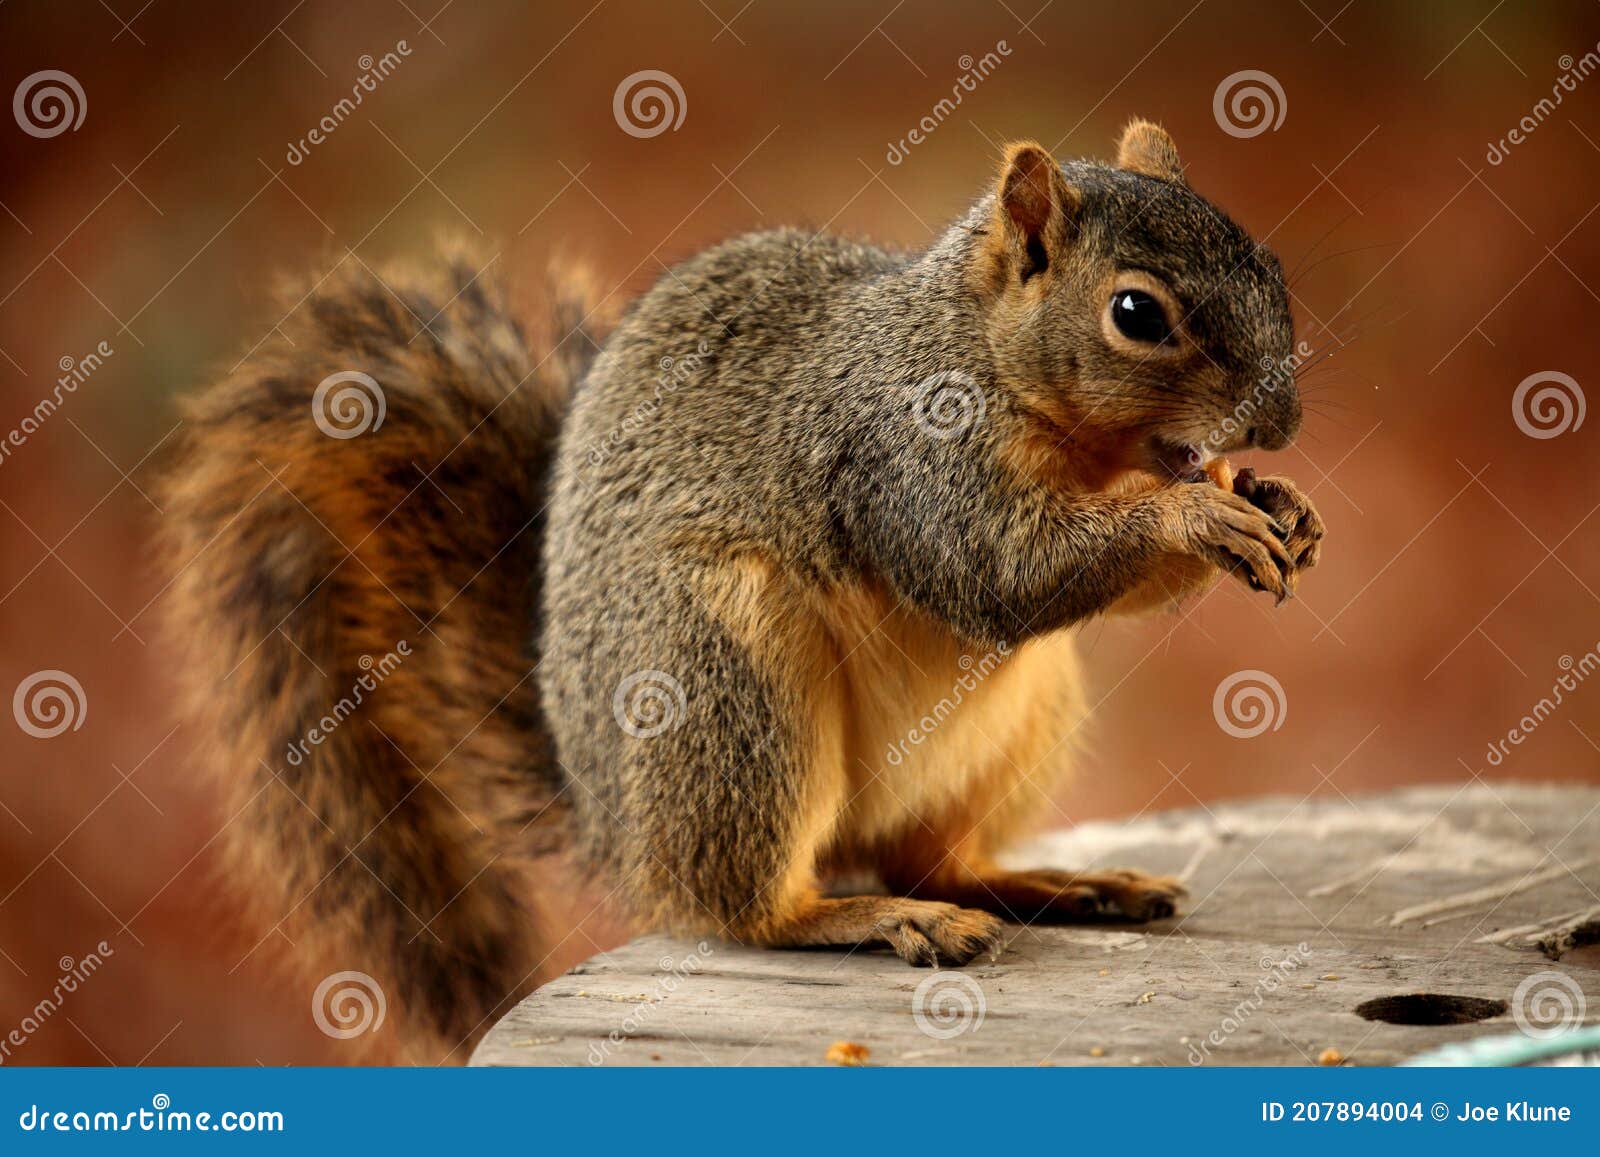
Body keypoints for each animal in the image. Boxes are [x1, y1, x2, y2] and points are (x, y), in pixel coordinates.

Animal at [159, 120, 1324, 1059]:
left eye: (1269, 262)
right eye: (1136, 313)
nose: (1282, 419)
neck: (987, 354)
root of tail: (609, 817)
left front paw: (1281, 503)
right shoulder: (907, 448)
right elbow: (997, 571)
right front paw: (1197, 515)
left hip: (1017, 718)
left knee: (933, 856)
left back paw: (1055, 885)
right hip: (723, 671)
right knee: (739, 902)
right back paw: (863, 917)